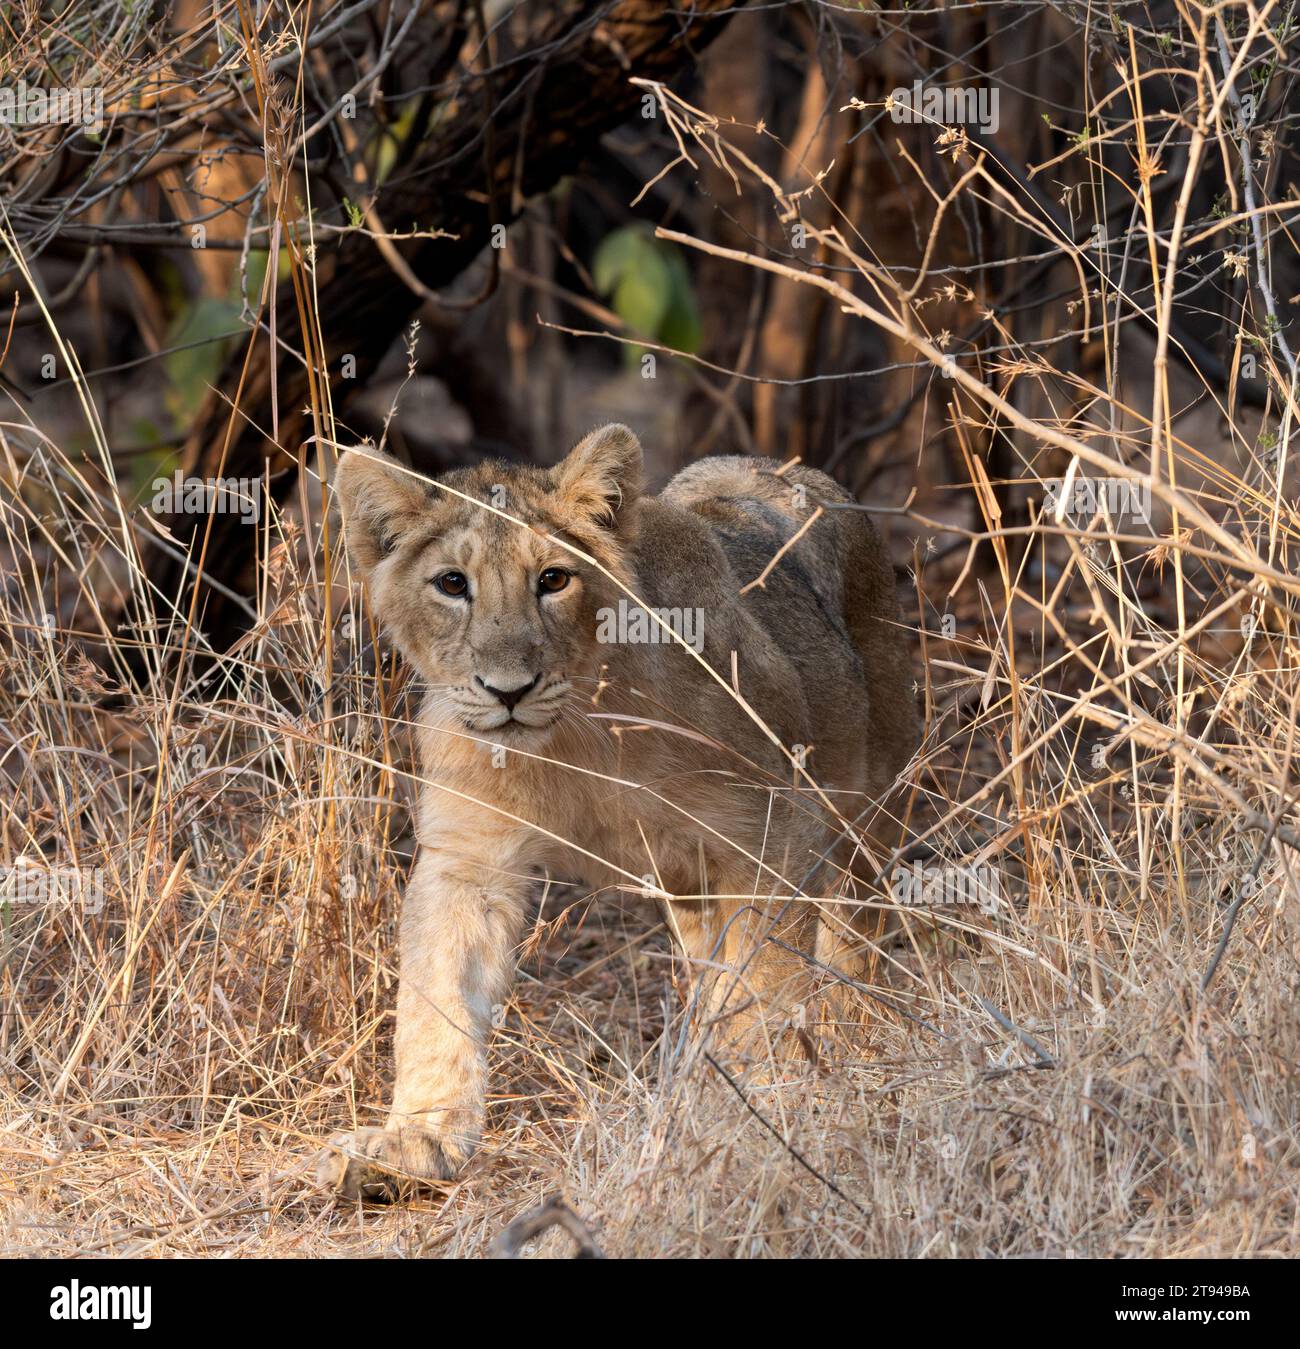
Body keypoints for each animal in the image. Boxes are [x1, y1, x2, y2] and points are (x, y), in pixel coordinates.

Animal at [317, 423, 916, 1200]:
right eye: (452, 583)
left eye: (553, 579)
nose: (508, 689)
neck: (573, 735)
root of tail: (779, 466)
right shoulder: (469, 859)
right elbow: (435, 996)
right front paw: (414, 1142)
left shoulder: (775, 830)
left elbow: (765, 980)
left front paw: (755, 1109)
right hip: (689, 886)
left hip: (868, 806)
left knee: (852, 931)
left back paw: (848, 1035)